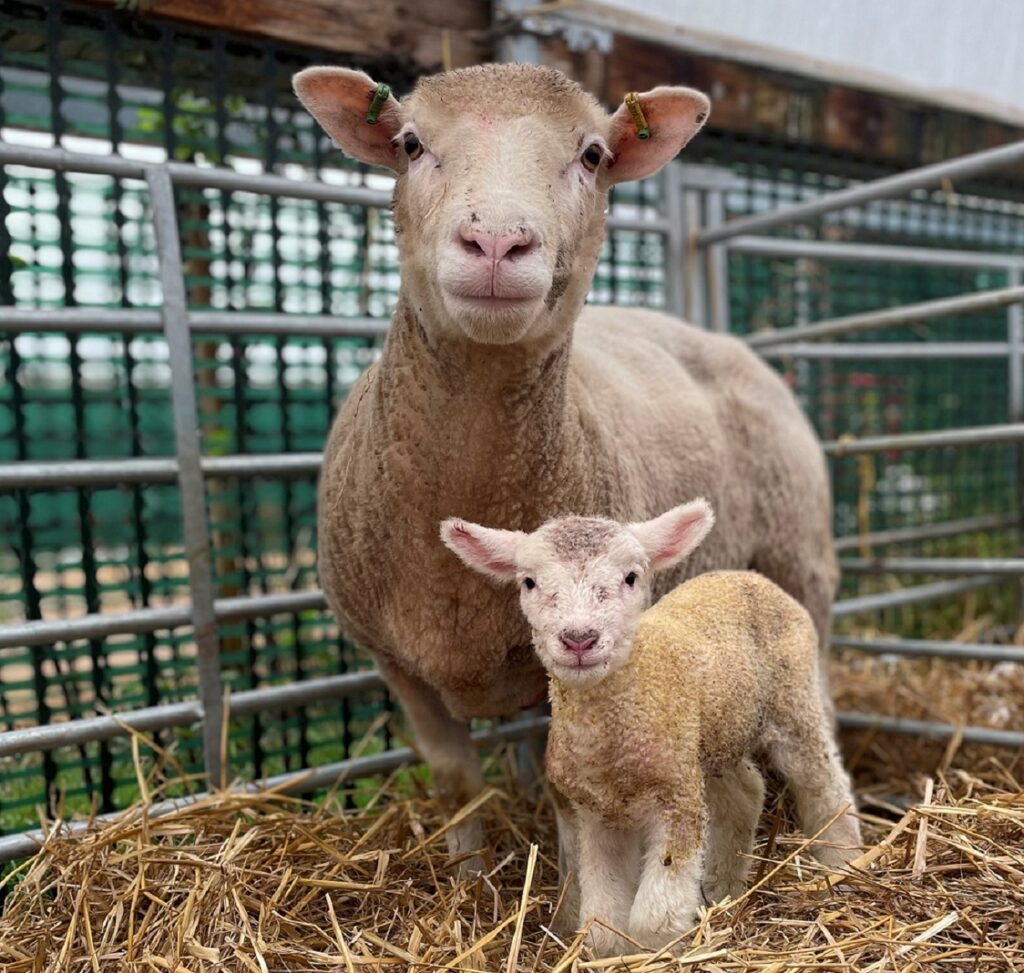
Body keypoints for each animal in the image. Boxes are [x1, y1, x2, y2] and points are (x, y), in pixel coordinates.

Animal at [293, 62, 837, 872]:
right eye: (410, 143)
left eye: (592, 155)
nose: (496, 242)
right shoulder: (399, 667)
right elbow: (457, 785)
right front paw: (465, 877)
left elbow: (569, 789)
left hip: (801, 560)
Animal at [441, 499, 861, 955]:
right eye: (529, 582)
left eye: (631, 577)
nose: (579, 639)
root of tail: (747, 576)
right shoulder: (596, 813)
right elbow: (603, 919)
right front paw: (610, 951)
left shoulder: (675, 802)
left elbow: (653, 917)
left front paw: (655, 950)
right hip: (710, 737)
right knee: (746, 792)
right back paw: (723, 887)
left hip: (793, 703)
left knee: (825, 784)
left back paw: (843, 862)